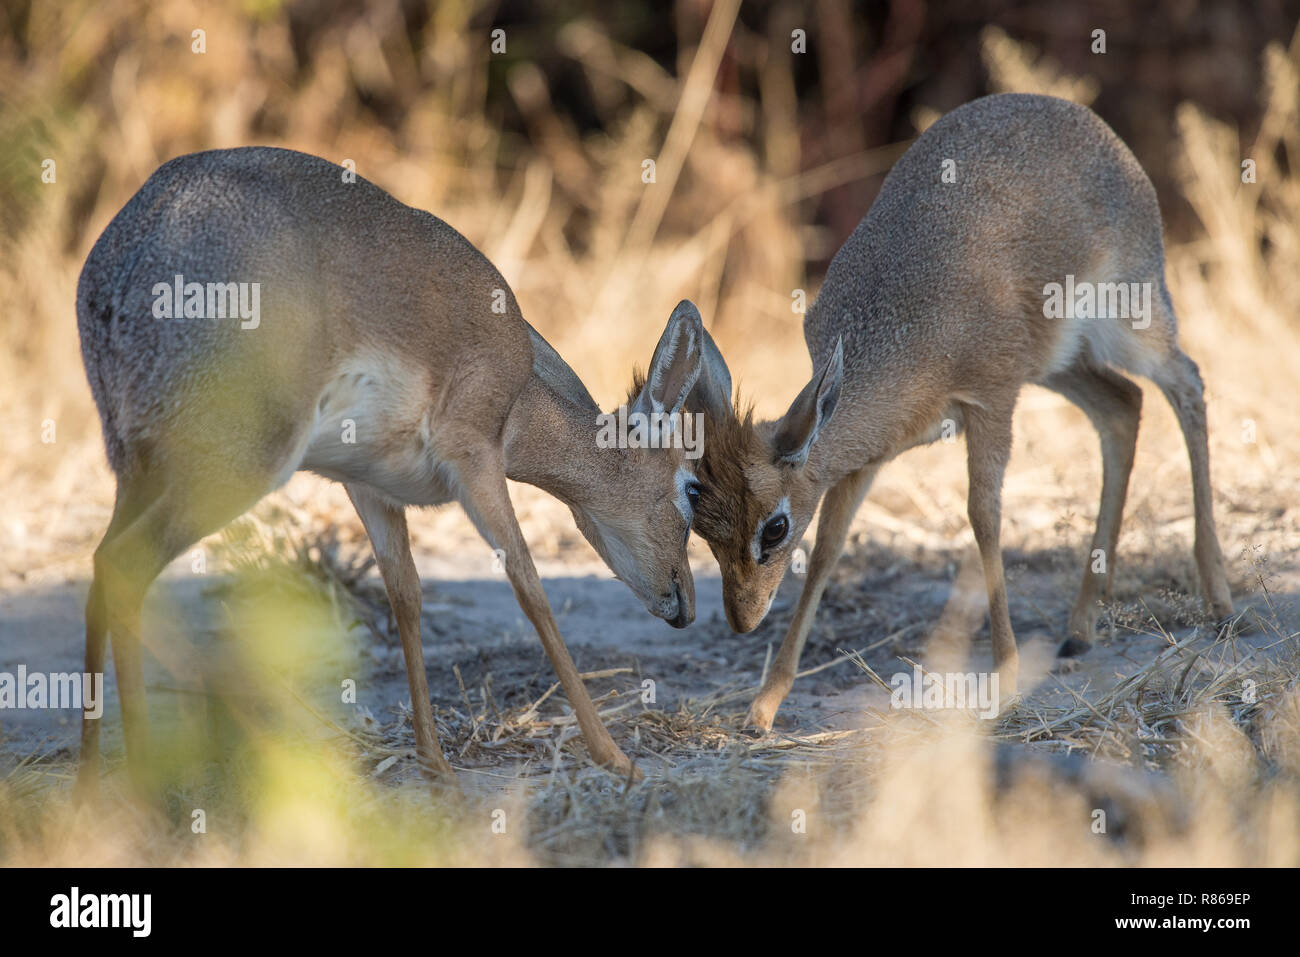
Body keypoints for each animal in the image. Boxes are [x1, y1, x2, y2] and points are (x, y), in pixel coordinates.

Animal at [76, 146, 708, 791]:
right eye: (692, 489)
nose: (685, 604)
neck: (520, 395)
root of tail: (133, 251)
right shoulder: (474, 460)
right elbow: (530, 587)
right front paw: (615, 757)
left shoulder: (368, 487)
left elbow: (405, 595)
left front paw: (435, 762)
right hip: (239, 463)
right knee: (123, 566)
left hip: (141, 469)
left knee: (100, 567)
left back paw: (90, 780)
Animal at [688, 93, 1234, 730]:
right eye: (700, 523)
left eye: (773, 527)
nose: (743, 618)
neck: (901, 335)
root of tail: (1088, 122)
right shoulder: (869, 455)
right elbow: (827, 550)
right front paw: (765, 704)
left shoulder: (992, 399)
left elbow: (984, 516)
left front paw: (1008, 677)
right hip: (1060, 362)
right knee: (1124, 407)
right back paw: (1080, 630)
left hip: (1130, 322)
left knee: (1187, 382)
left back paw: (1219, 601)